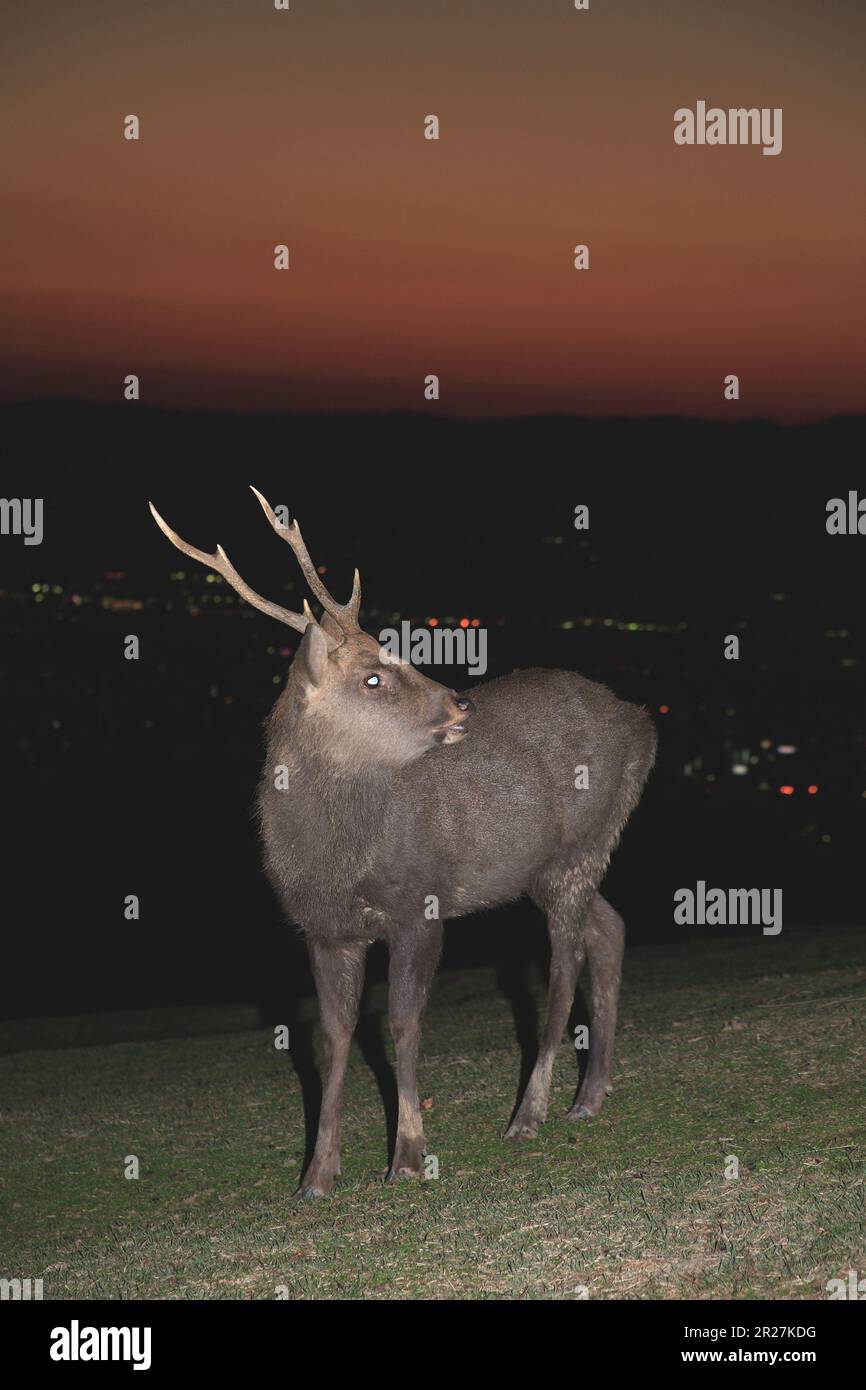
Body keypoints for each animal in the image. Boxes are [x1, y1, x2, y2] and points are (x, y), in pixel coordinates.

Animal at [150, 490, 656, 1198]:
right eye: (372, 677)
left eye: (394, 650)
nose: (463, 703)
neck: (334, 861)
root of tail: (644, 727)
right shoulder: (323, 931)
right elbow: (335, 1038)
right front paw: (317, 1175)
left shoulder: (421, 903)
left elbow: (401, 1023)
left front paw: (408, 1156)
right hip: (559, 861)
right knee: (608, 929)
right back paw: (590, 1095)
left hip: (579, 847)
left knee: (564, 963)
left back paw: (529, 1113)